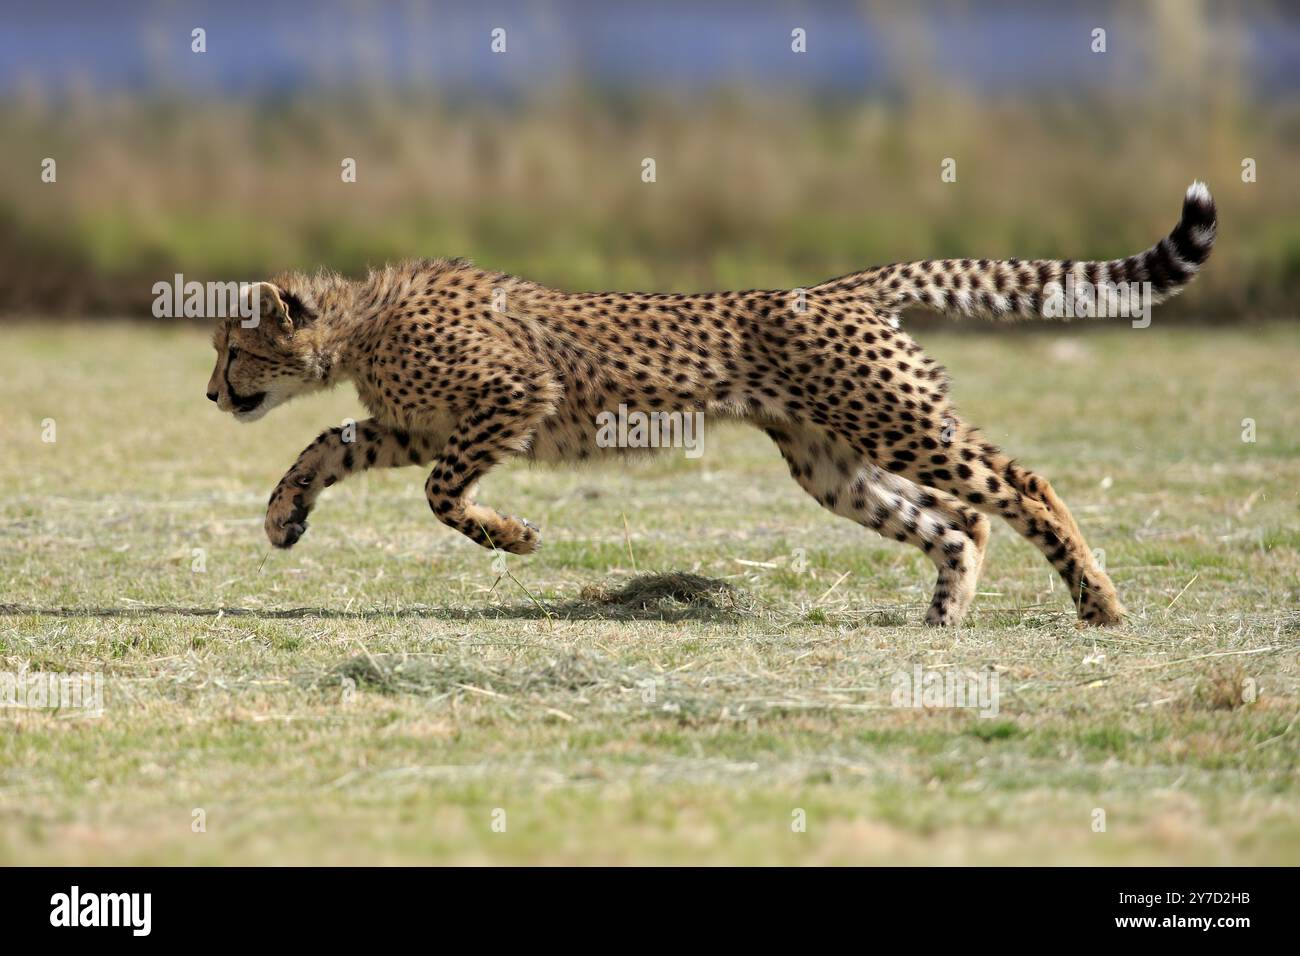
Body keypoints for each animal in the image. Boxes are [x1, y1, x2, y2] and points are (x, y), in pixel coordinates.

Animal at [206, 182, 1216, 627]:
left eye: (232, 347)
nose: (213, 393)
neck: (357, 325)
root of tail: (841, 285)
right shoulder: (417, 425)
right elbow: (327, 443)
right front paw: (283, 517)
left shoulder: (510, 395)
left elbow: (441, 494)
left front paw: (512, 537)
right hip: (829, 462)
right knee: (959, 519)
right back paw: (943, 615)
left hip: (896, 421)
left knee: (1020, 486)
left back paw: (1098, 599)